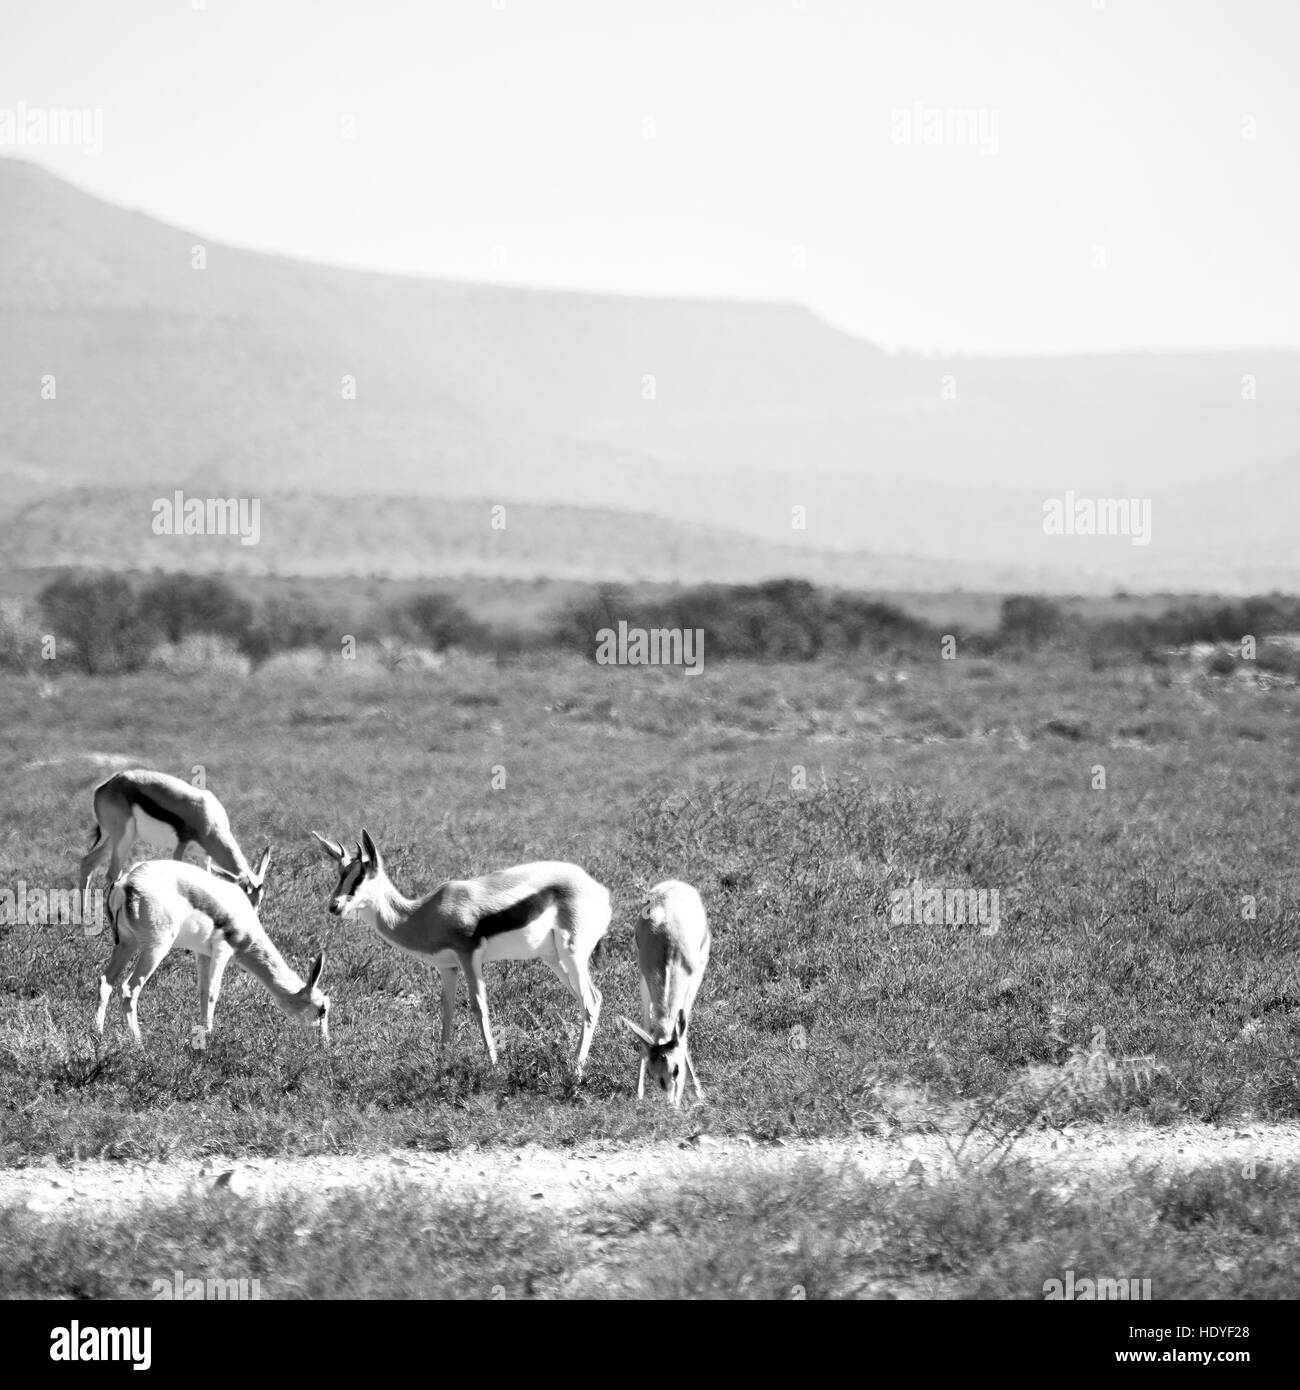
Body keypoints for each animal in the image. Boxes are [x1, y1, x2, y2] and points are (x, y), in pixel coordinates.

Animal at [77, 769, 270, 910]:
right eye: (246, 898)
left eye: (258, 901)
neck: (209, 818)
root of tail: (105, 786)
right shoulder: (180, 846)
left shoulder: (204, 856)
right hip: (123, 838)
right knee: (113, 873)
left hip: (116, 839)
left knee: (88, 862)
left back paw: (83, 916)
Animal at [97, 859, 329, 1049]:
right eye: (322, 1009)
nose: (324, 1043)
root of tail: (127, 880)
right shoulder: (222, 951)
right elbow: (212, 993)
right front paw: (207, 1037)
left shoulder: (203, 955)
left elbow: (202, 991)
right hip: (155, 948)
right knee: (130, 988)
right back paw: (140, 1044)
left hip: (127, 944)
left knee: (106, 981)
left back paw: (97, 1035)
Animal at [312, 829, 609, 1075]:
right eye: (340, 874)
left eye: (361, 876)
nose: (334, 906)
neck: (423, 914)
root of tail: (597, 888)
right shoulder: (448, 967)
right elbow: (447, 1009)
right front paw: (441, 1065)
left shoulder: (469, 956)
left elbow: (479, 1006)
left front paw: (493, 1066)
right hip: (554, 959)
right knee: (591, 999)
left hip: (573, 954)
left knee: (590, 1001)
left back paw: (576, 1073)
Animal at [620, 880, 710, 1105]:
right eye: (652, 1073)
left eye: (676, 1069)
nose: (670, 1103)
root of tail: (675, 883)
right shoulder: (644, 981)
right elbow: (645, 1027)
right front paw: (638, 1091)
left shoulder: (693, 984)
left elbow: (684, 1033)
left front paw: (698, 1091)